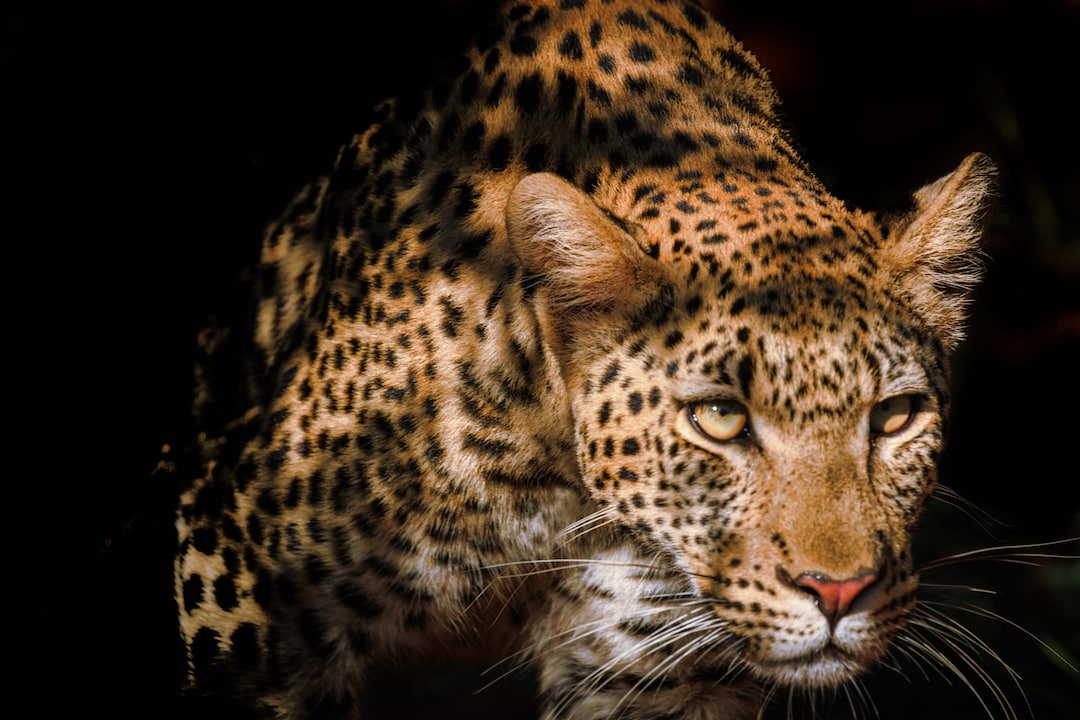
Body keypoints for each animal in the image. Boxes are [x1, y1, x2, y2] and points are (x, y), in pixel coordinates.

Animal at [174, 0, 1001, 717]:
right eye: (719, 418)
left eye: (896, 416)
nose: (839, 592)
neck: (559, 488)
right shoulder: (249, 601)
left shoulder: (650, 674)